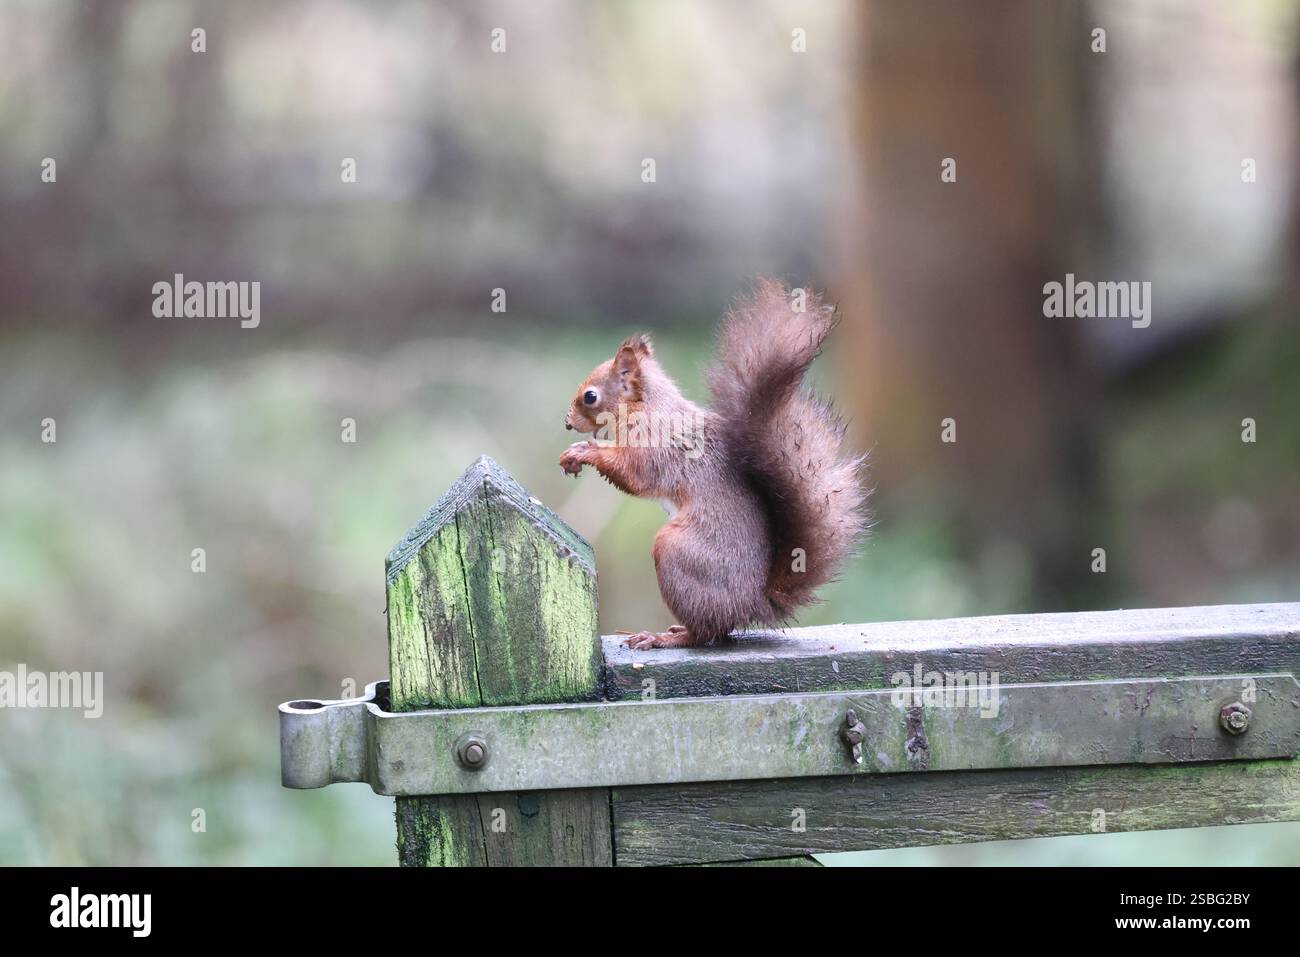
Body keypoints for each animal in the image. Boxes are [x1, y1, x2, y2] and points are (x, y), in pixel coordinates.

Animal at [559, 278, 868, 649]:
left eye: (590, 396)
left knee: (706, 631)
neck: (647, 407)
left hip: (677, 552)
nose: (567, 423)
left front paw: (585, 451)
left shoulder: (656, 447)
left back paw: (664, 637)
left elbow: (635, 475)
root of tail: (754, 602)